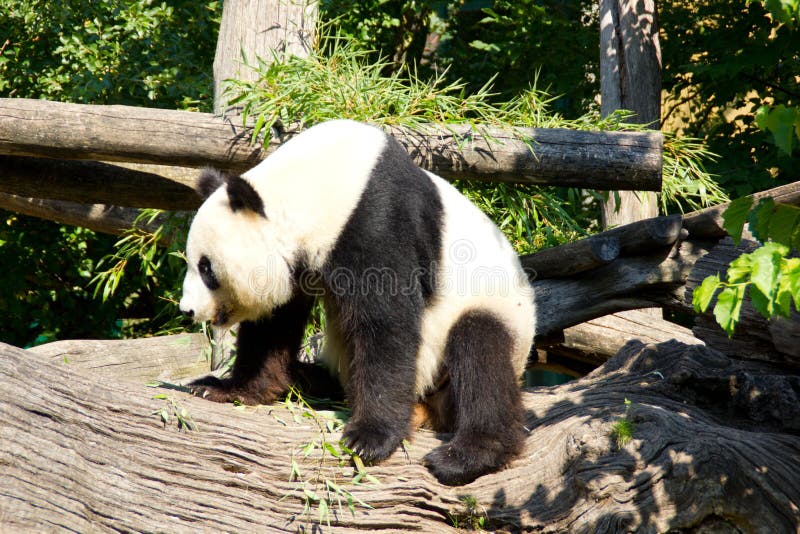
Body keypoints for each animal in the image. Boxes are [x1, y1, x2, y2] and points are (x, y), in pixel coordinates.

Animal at [179, 119, 535, 486]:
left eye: (206, 268)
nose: (187, 309)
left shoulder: (375, 220)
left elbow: (385, 326)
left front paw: (369, 438)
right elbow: (274, 322)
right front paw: (229, 388)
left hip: (492, 315)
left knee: (481, 355)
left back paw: (466, 456)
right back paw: (305, 379)